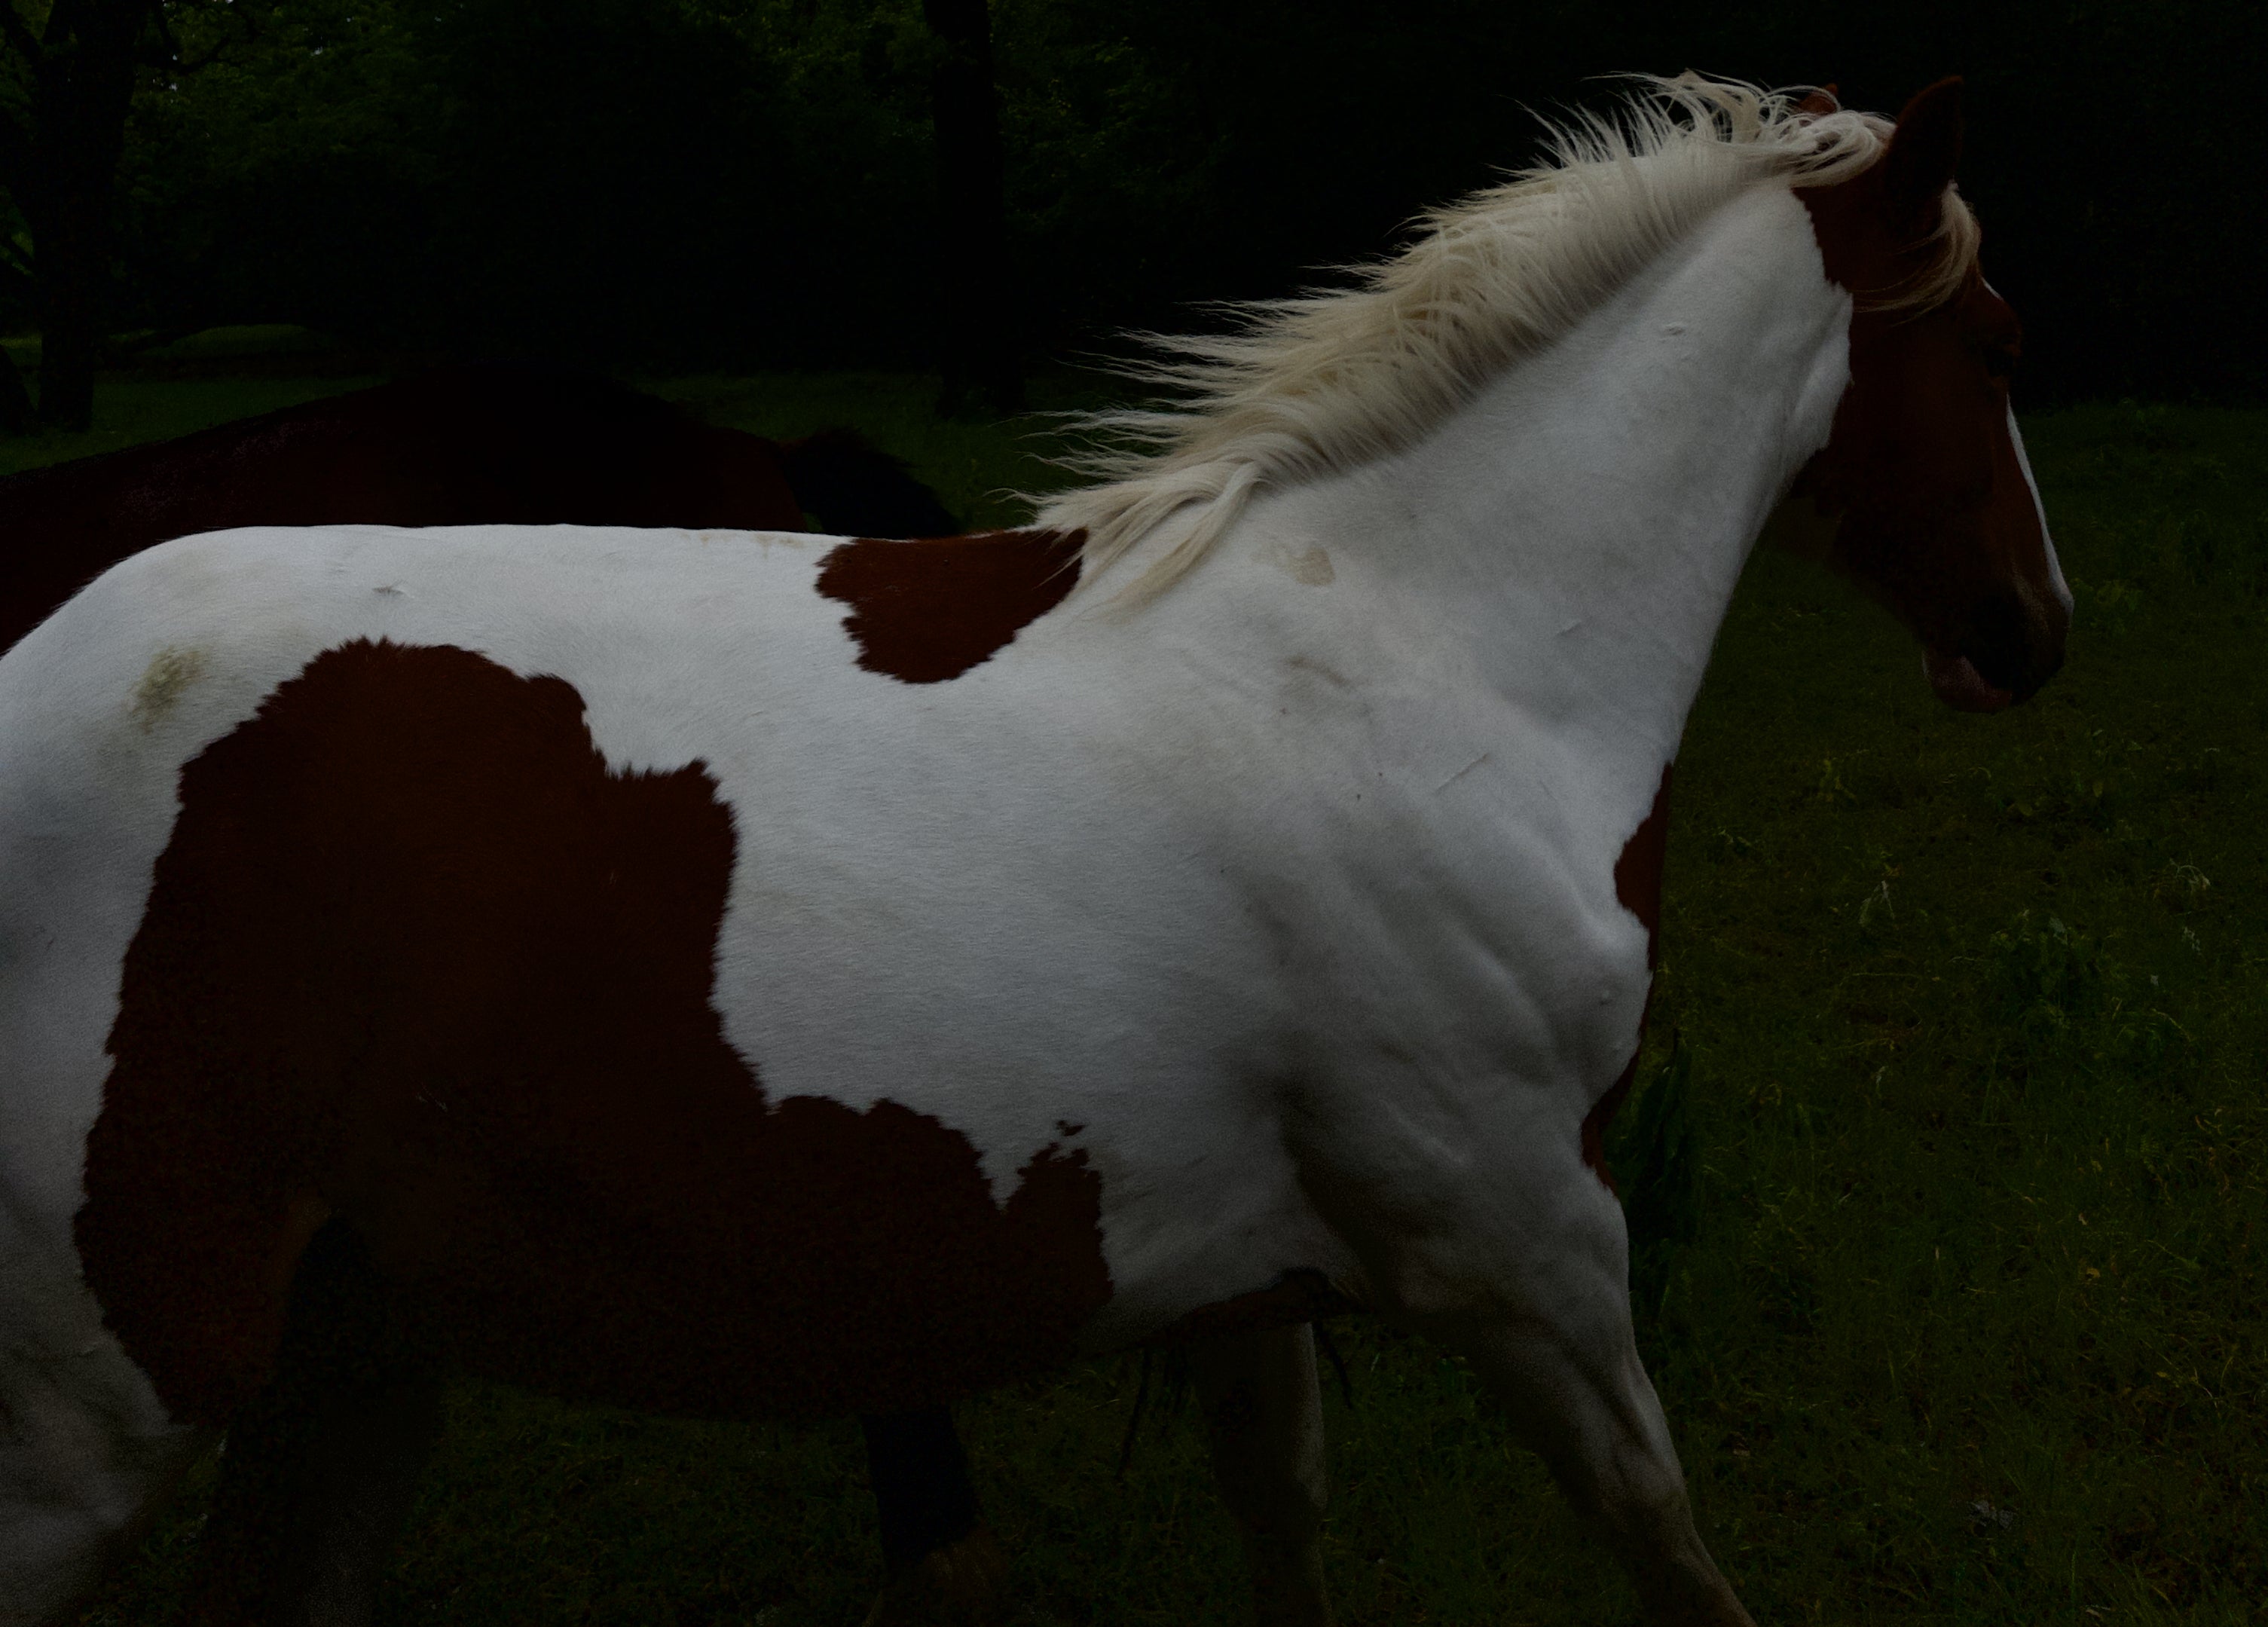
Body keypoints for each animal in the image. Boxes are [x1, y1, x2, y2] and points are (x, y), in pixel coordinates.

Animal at [0, 75, 2065, 1627]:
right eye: (1989, 343)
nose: (2031, 631)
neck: (1425, 651)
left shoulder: (1261, 1276)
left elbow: (1283, 1522)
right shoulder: (1528, 1244)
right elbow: (1669, 1545)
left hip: (354, 1343)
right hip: (101, 1395)